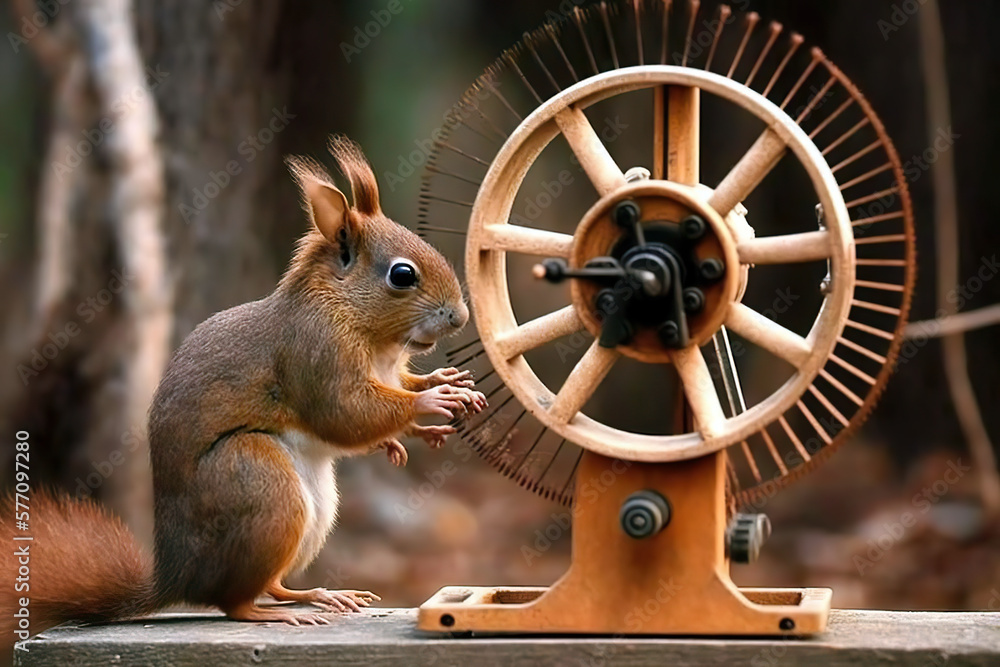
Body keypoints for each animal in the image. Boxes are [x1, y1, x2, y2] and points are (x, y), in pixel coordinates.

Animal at [1, 136, 487, 638]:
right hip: (260, 484)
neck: (371, 335)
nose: (459, 317)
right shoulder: (315, 355)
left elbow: (394, 395)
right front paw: (431, 401)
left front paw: (443, 390)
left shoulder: (390, 372)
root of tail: (176, 577)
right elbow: (345, 412)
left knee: (269, 584)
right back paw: (281, 611)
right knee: (234, 601)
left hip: (312, 512)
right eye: (402, 275)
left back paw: (317, 595)